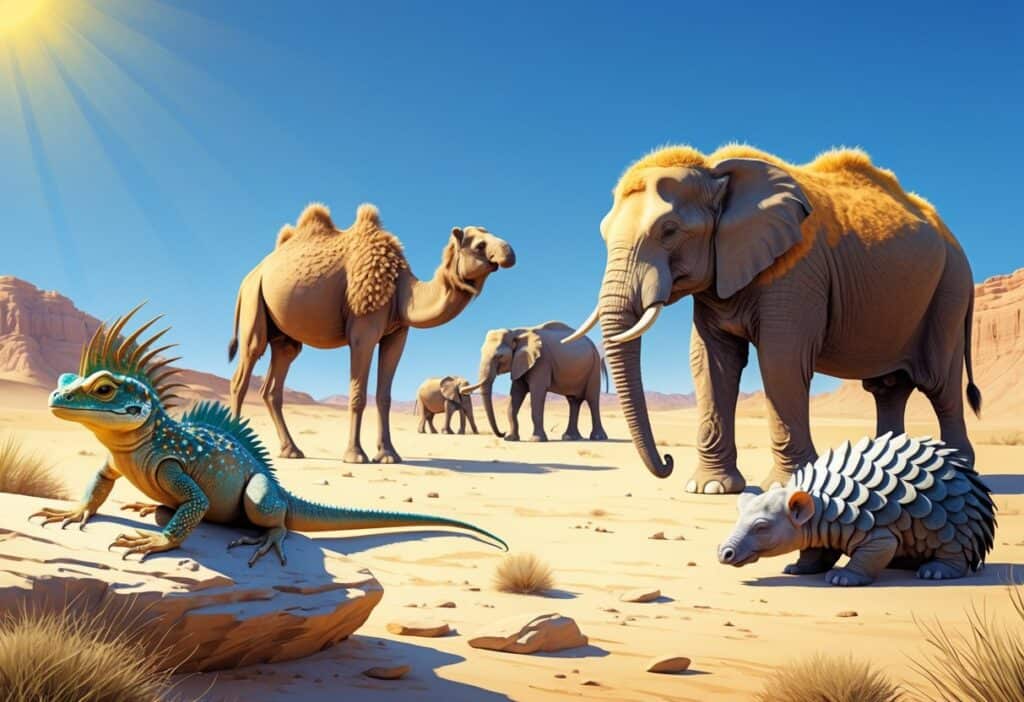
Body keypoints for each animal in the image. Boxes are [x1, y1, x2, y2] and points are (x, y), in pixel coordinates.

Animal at [228, 202, 516, 463]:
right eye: (479, 245)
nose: (509, 253)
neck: (401, 290)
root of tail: (249, 276)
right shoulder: (362, 330)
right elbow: (357, 394)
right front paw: (355, 455)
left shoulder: (397, 333)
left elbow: (384, 396)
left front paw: (388, 455)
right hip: (253, 302)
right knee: (242, 374)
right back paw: (237, 445)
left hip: (283, 335)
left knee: (274, 382)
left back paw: (291, 450)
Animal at [462, 321, 608, 442]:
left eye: (500, 356)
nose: (502, 433)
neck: (517, 332)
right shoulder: (520, 362)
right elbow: (515, 394)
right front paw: (511, 438)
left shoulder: (541, 361)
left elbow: (537, 393)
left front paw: (536, 440)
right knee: (573, 402)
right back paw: (570, 437)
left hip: (594, 366)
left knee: (592, 399)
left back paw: (598, 438)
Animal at [566, 144, 980, 494]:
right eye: (603, 235)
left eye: (669, 231)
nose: (667, 461)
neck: (715, 171)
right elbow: (712, 363)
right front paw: (710, 488)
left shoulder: (798, 270)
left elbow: (780, 359)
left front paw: (787, 487)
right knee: (888, 389)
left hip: (949, 290)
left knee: (940, 384)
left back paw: (958, 473)